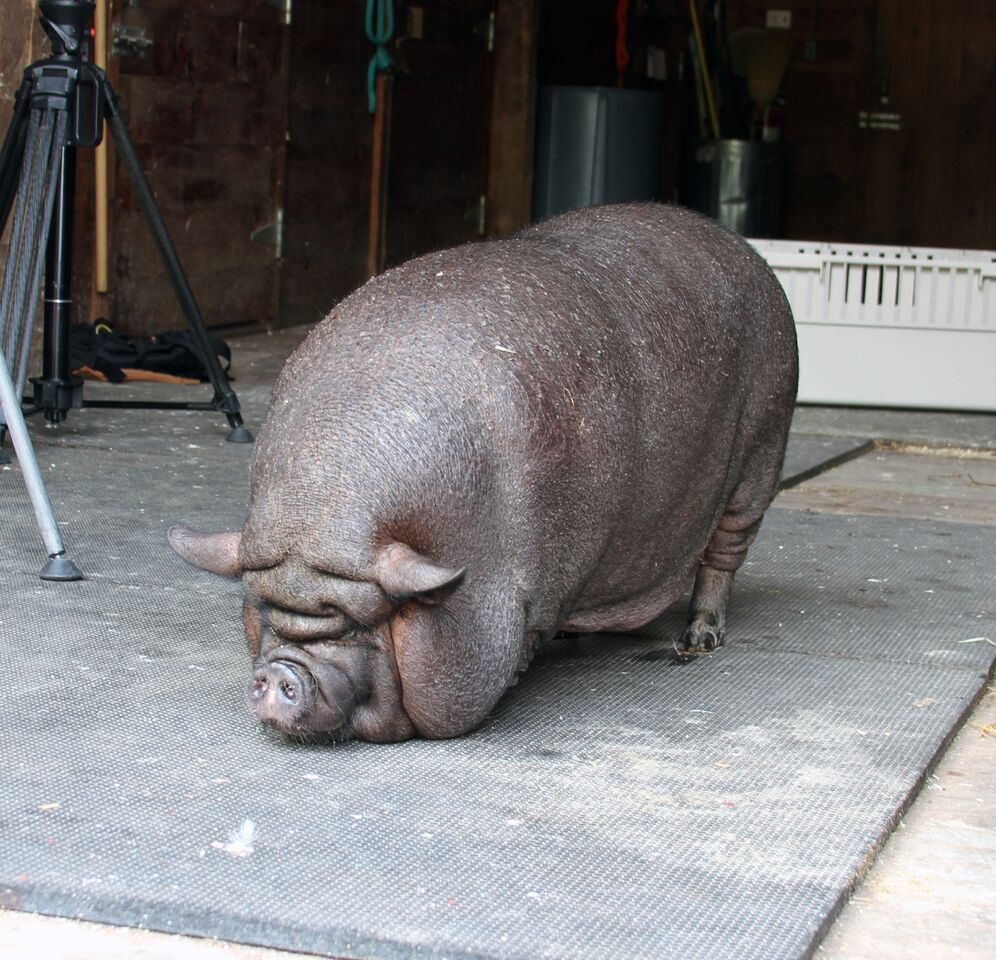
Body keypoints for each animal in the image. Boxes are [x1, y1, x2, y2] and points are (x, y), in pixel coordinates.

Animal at [168, 203, 798, 743]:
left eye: (363, 624)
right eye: (262, 609)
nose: (279, 672)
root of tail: (744, 251)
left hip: (762, 452)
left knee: (724, 554)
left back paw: (700, 640)